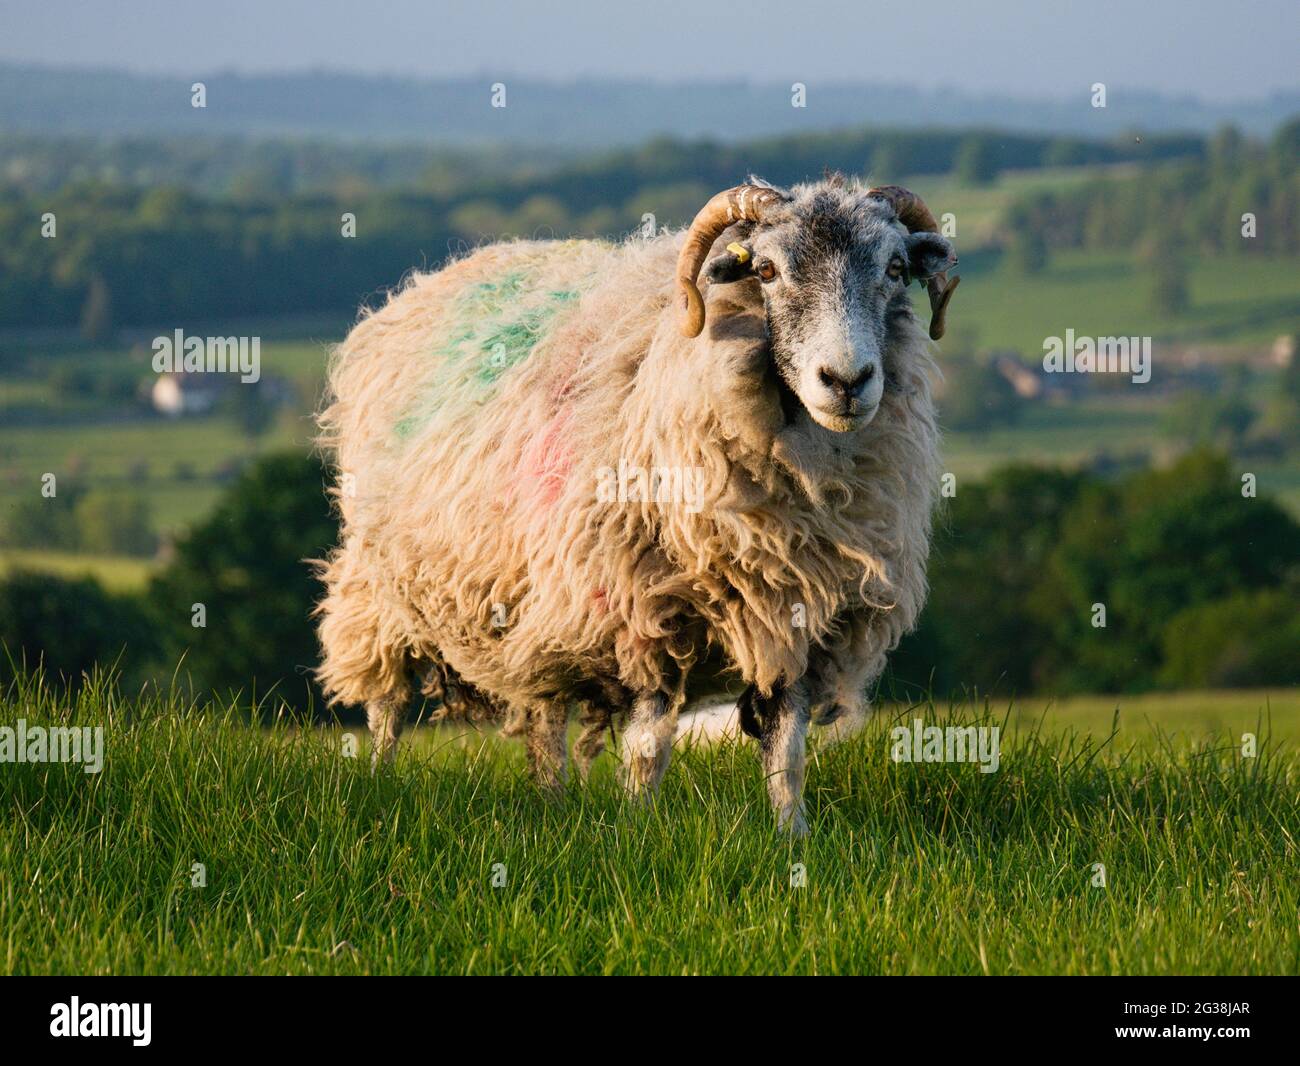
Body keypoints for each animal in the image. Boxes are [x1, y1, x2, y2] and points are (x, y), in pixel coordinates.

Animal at [315, 175, 958, 833]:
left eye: (895, 267)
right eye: (768, 270)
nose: (847, 381)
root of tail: (440, 276)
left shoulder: (799, 616)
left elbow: (788, 751)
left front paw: (791, 835)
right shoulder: (645, 609)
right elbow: (648, 746)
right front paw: (640, 829)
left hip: (532, 604)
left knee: (543, 715)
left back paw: (552, 802)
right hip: (380, 589)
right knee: (387, 704)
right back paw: (381, 781)